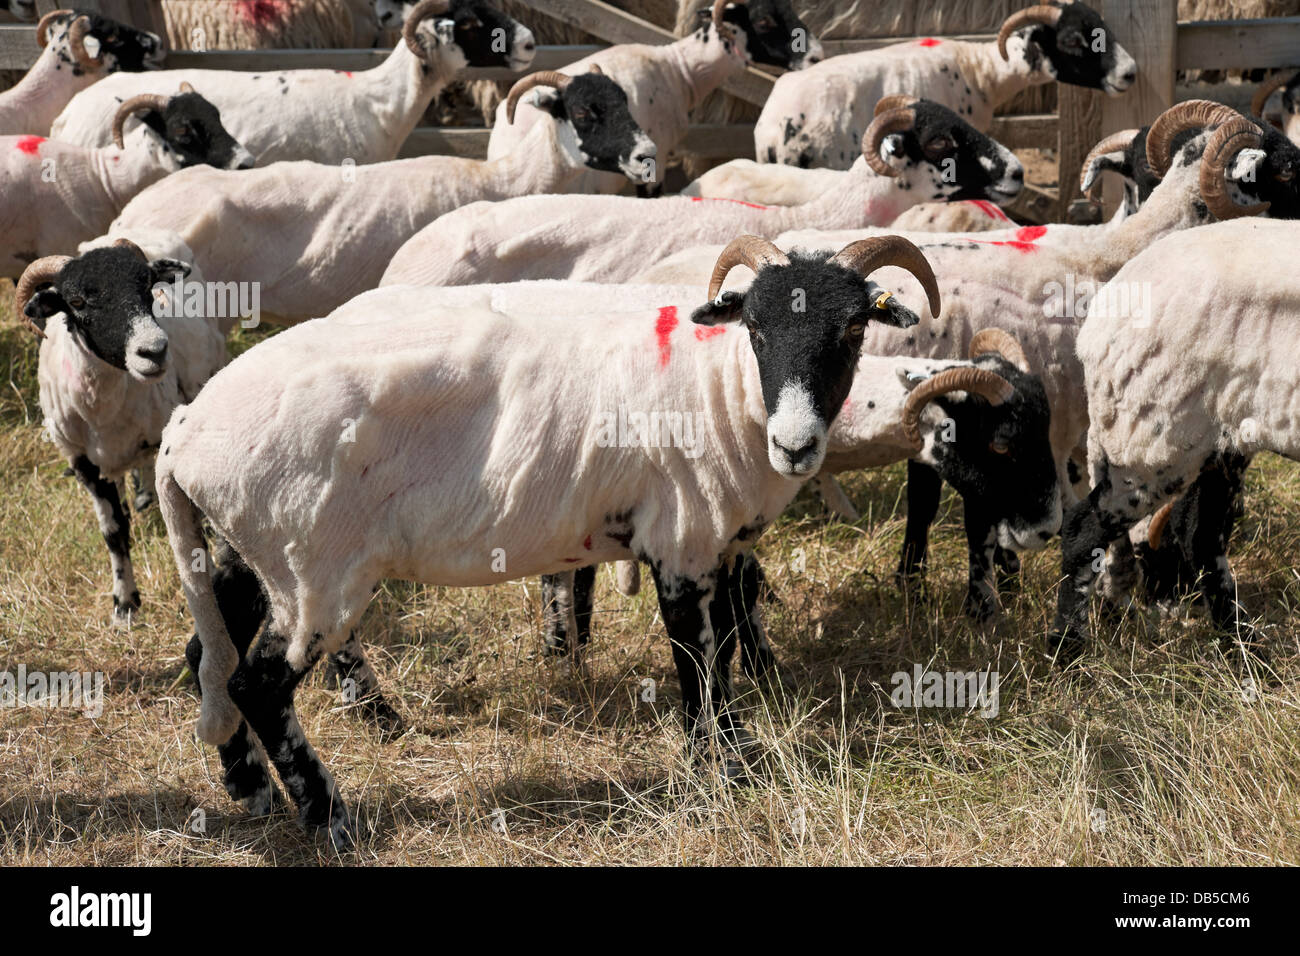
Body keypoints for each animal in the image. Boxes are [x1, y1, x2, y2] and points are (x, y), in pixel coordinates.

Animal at [13, 237, 226, 624]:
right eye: (77, 302)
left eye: (148, 287)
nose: (154, 351)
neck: (104, 408)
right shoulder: (82, 462)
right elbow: (113, 532)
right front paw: (125, 603)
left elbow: (190, 527)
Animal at [155, 234, 940, 845]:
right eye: (758, 330)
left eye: (852, 332)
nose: (797, 445)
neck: (724, 394)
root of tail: (184, 430)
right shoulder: (682, 539)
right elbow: (696, 664)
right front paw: (711, 772)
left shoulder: (716, 546)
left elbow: (722, 653)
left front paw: (739, 754)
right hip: (311, 569)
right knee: (257, 683)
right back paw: (330, 818)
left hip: (255, 551)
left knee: (212, 646)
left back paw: (249, 785)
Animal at [1049, 216, 1300, 667]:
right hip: (1150, 439)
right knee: (1082, 531)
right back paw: (1067, 653)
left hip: (1217, 440)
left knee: (1201, 537)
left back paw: (1244, 650)